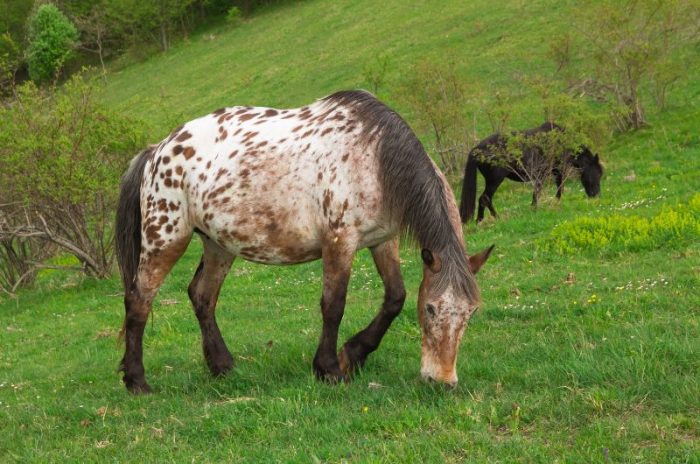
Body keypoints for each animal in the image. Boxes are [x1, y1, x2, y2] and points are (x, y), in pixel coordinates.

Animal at [115, 90, 494, 394]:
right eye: (430, 309)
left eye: (471, 312)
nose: (441, 381)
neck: (374, 158)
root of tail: (157, 150)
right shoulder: (339, 242)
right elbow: (334, 306)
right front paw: (328, 369)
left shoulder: (383, 241)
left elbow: (395, 298)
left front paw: (352, 355)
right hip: (166, 238)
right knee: (139, 300)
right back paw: (137, 381)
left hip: (218, 244)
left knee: (202, 296)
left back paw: (222, 366)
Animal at [459, 122, 603, 223]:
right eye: (596, 173)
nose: (596, 195)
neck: (559, 141)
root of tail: (476, 150)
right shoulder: (552, 172)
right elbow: (550, 188)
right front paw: (537, 207)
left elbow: (548, 189)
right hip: (494, 181)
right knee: (485, 198)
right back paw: (495, 218)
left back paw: (480, 221)